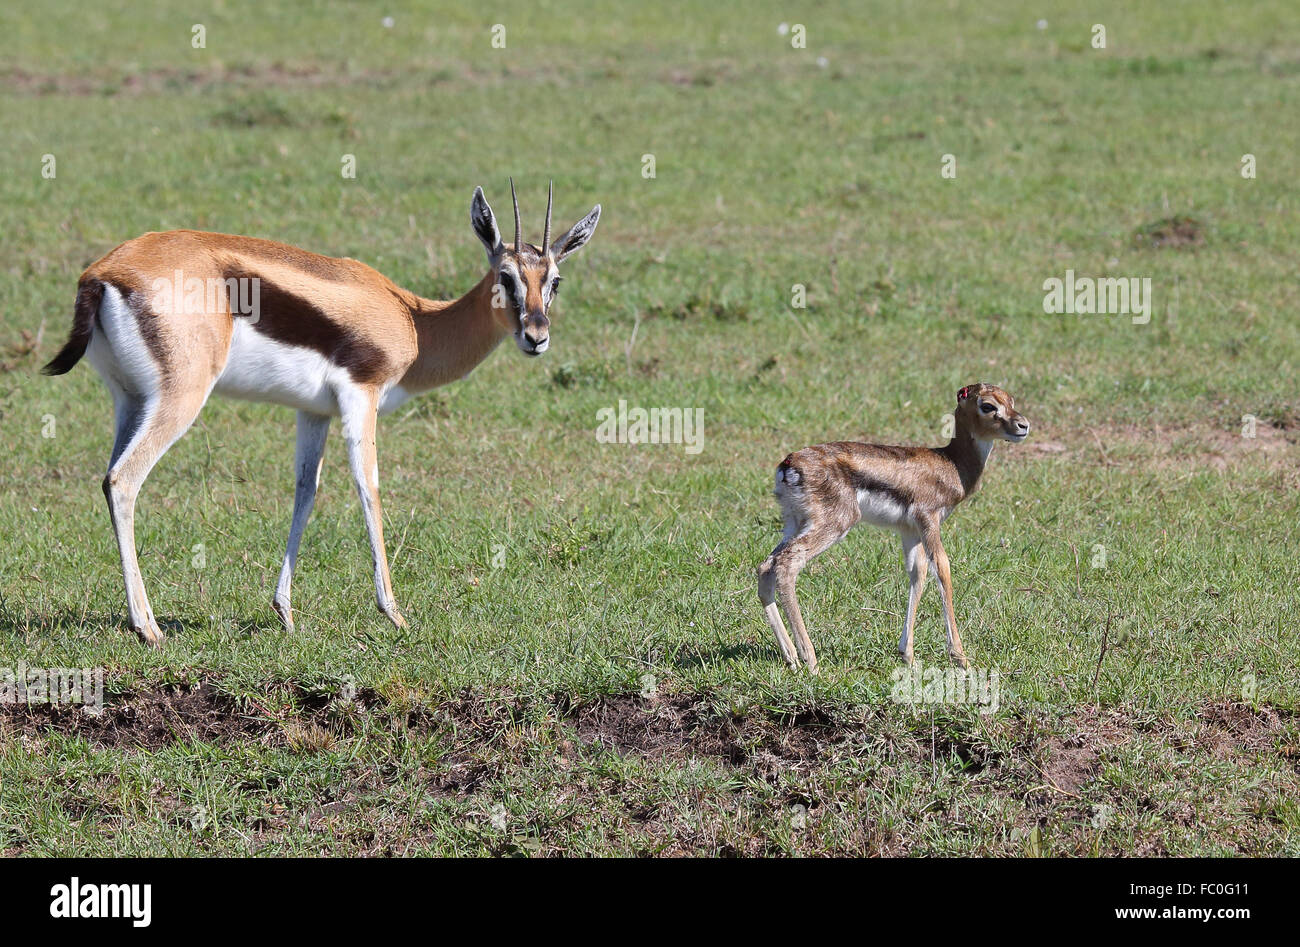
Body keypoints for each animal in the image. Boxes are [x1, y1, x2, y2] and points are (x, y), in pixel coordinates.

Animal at [42, 182, 600, 647]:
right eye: (506, 275)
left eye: (554, 281)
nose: (536, 336)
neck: (415, 322)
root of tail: (104, 273)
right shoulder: (361, 396)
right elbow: (368, 488)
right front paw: (394, 613)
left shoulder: (314, 412)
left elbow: (305, 492)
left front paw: (284, 612)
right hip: (182, 397)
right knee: (124, 480)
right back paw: (148, 627)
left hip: (131, 401)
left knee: (109, 476)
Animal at [757, 384, 1029, 674]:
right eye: (988, 405)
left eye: (1011, 400)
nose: (1023, 425)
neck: (952, 464)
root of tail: (788, 464)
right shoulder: (929, 520)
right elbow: (942, 568)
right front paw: (960, 658)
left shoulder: (909, 530)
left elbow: (917, 574)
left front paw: (907, 655)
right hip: (834, 524)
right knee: (787, 564)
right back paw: (810, 659)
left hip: (795, 523)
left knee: (767, 565)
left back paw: (791, 657)